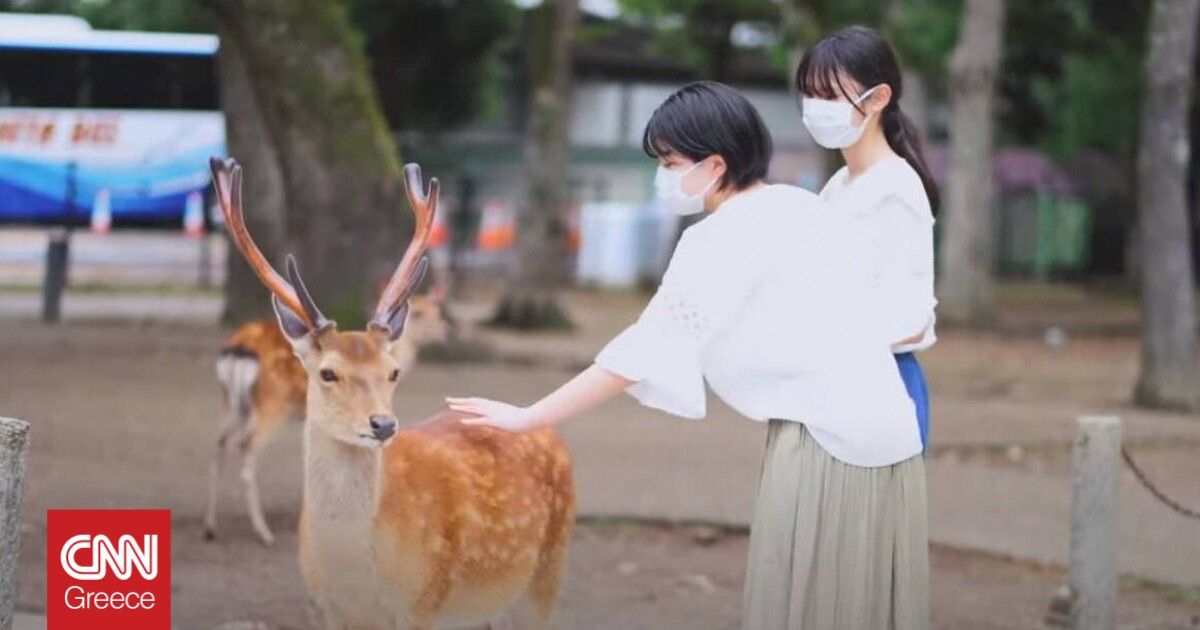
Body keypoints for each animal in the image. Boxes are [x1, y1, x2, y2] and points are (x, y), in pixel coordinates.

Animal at [205, 285, 451, 546]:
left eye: (437, 310)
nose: (446, 331)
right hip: (271, 404)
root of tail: (238, 347)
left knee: (220, 444)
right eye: (419, 313)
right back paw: (263, 532)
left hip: (232, 404)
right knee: (246, 445)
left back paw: (210, 528)